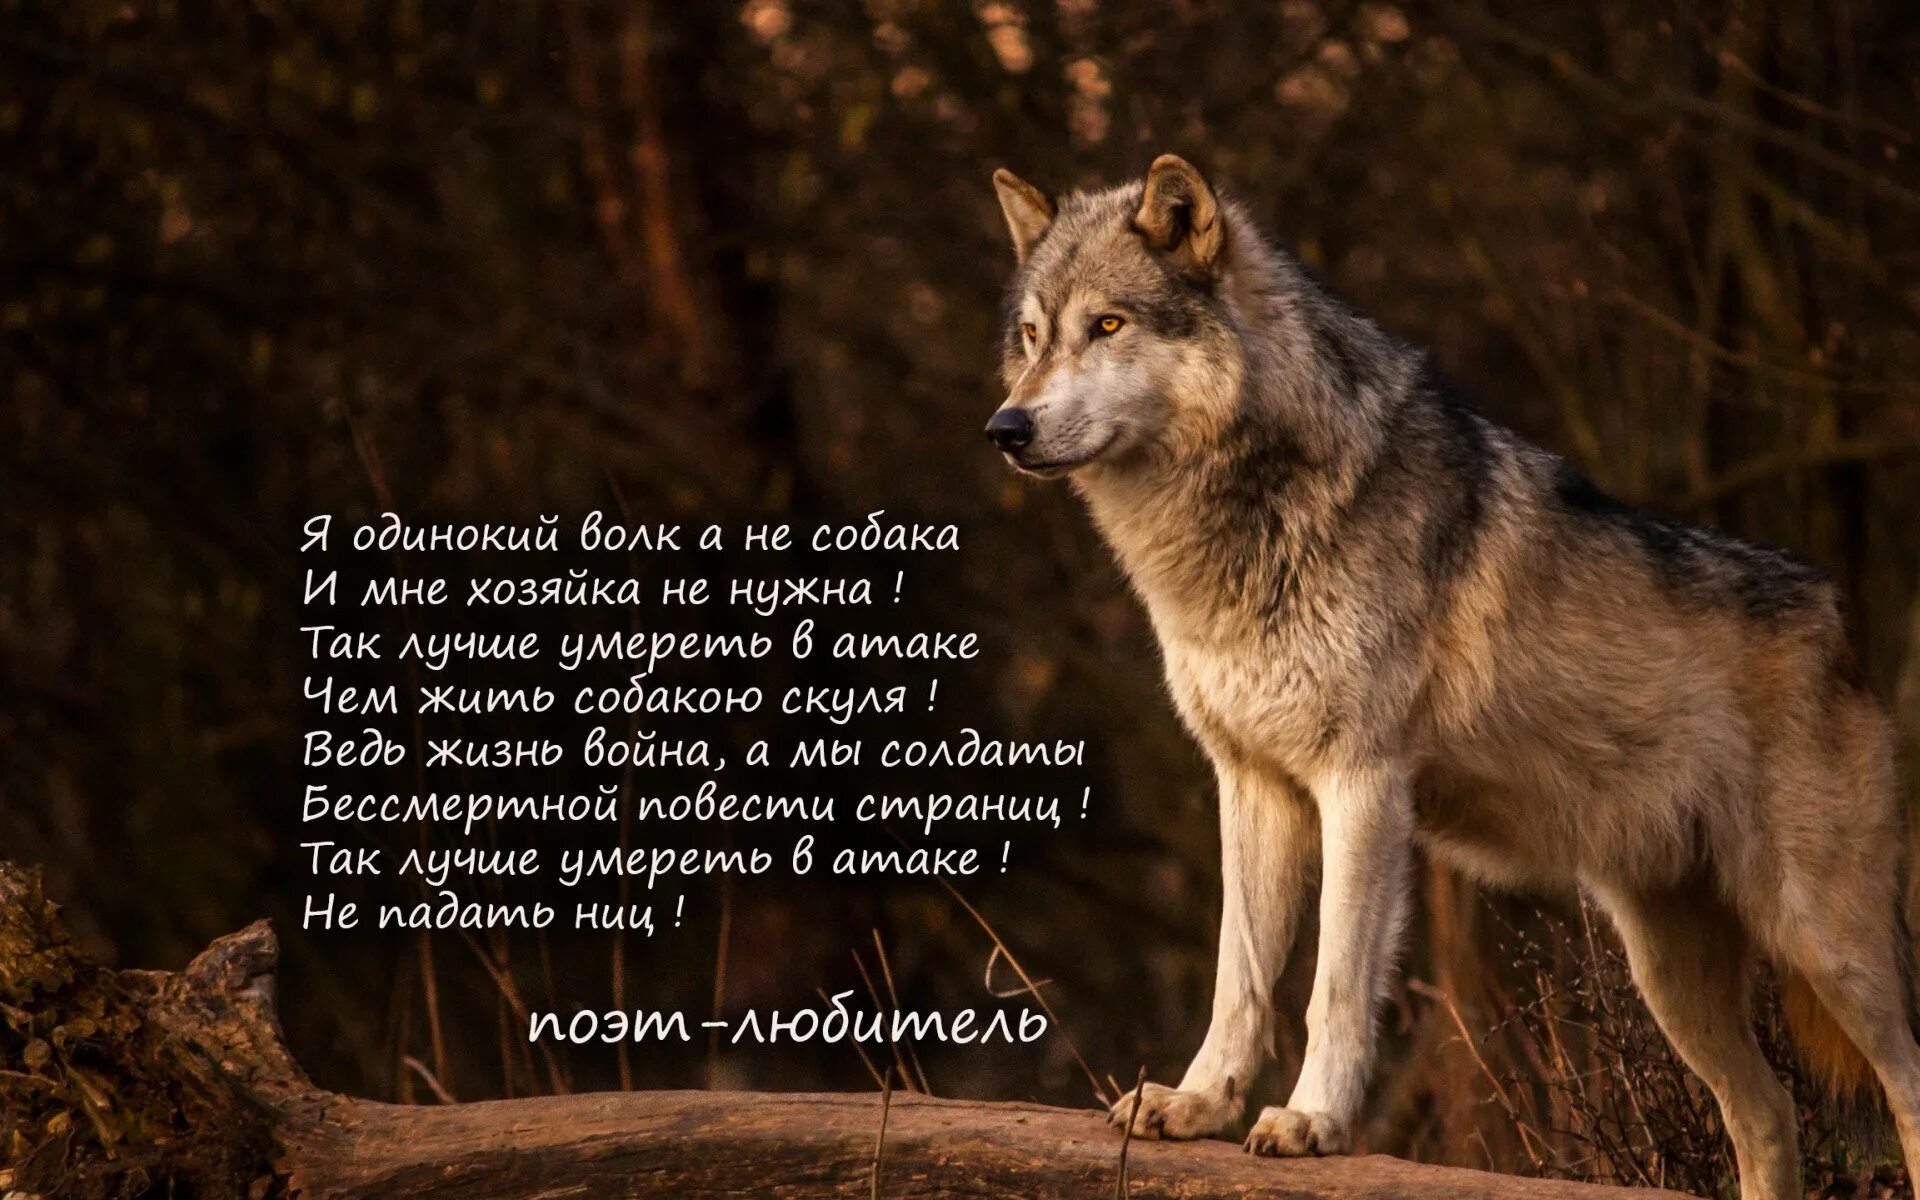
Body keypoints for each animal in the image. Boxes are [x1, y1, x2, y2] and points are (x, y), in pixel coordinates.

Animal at [984, 155, 1915, 1199]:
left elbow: (1333, 985)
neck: (1239, 524)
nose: (1005, 426)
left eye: (1108, 325)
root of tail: (1839, 622)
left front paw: (1309, 1121)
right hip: (1672, 977)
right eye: (1033, 336)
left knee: (1904, 1087)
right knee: (1769, 1114)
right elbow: (1242, 976)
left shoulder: (1362, 786)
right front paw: (1198, 1105)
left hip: (1824, 945)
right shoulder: (1253, 784)